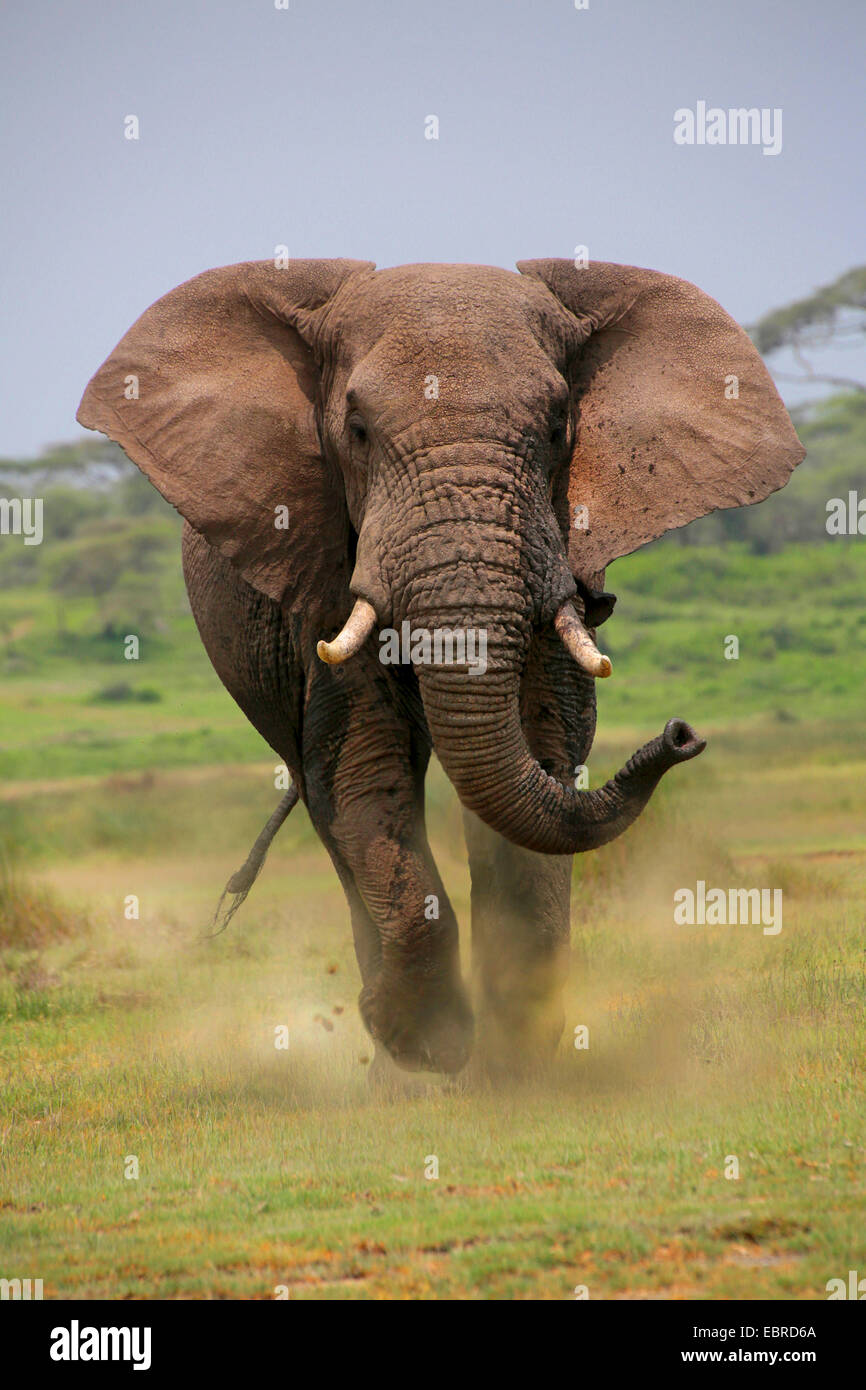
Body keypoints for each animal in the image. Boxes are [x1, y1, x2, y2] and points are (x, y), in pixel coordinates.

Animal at [77, 258, 804, 1076]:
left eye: (559, 425)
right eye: (357, 431)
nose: (683, 733)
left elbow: (538, 758)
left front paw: (514, 1057)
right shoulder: (328, 572)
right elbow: (367, 768)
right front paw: (425, 1043)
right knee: (326, 803)